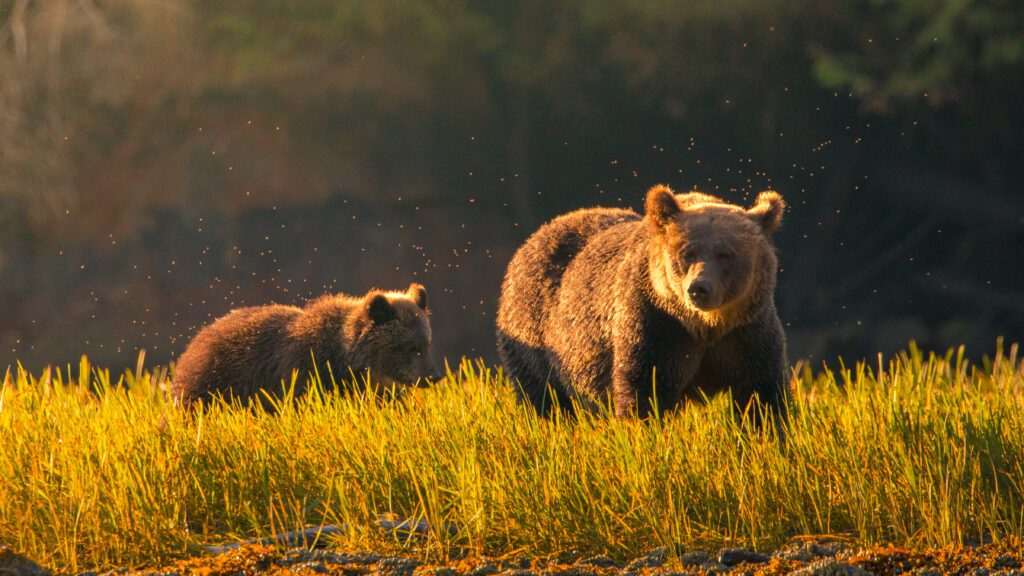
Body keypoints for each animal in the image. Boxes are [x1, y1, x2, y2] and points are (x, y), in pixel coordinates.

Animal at [171, 283, 441, 407]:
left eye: (428, 343)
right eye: (411, 346)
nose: (434, 375)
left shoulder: (373, 387)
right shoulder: (307, 370)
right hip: (213, 384)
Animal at [496, 185, 788, 418]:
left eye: (725, 254)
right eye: (688, 252)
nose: (699, 289)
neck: (706, 326)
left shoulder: (746, 331)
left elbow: (760, 391)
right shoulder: (657, 323)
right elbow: (645, 388)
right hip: (532, 330)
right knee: (545, 399)